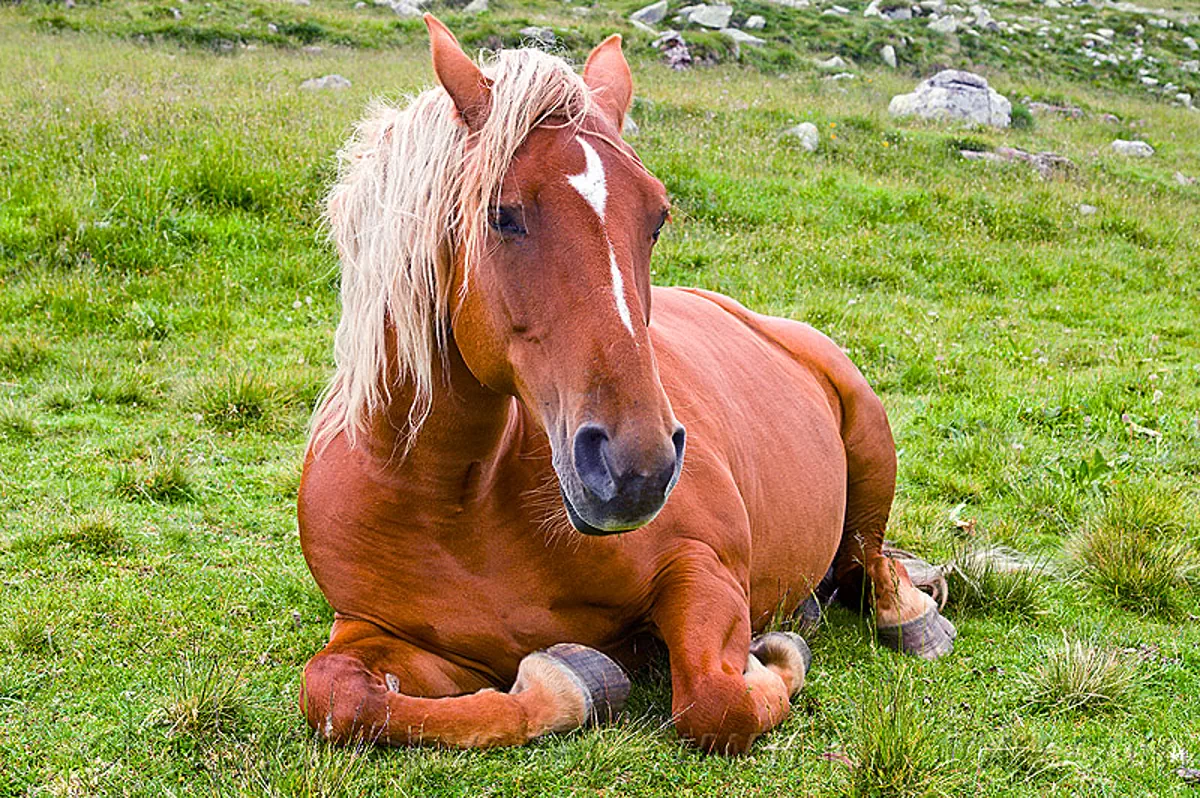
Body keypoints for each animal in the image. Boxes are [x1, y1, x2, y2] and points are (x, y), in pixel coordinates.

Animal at [297, 15, 956, 755]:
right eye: (501, 214)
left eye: (657, 215)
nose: (637, 467)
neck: (451, 498)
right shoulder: (381, 633)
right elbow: (338, 695)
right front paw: (573, 680)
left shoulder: (702, 563)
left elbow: (717, 701)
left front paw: (777, 657)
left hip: (869, 445)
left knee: (869, 555)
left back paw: (910, 617)